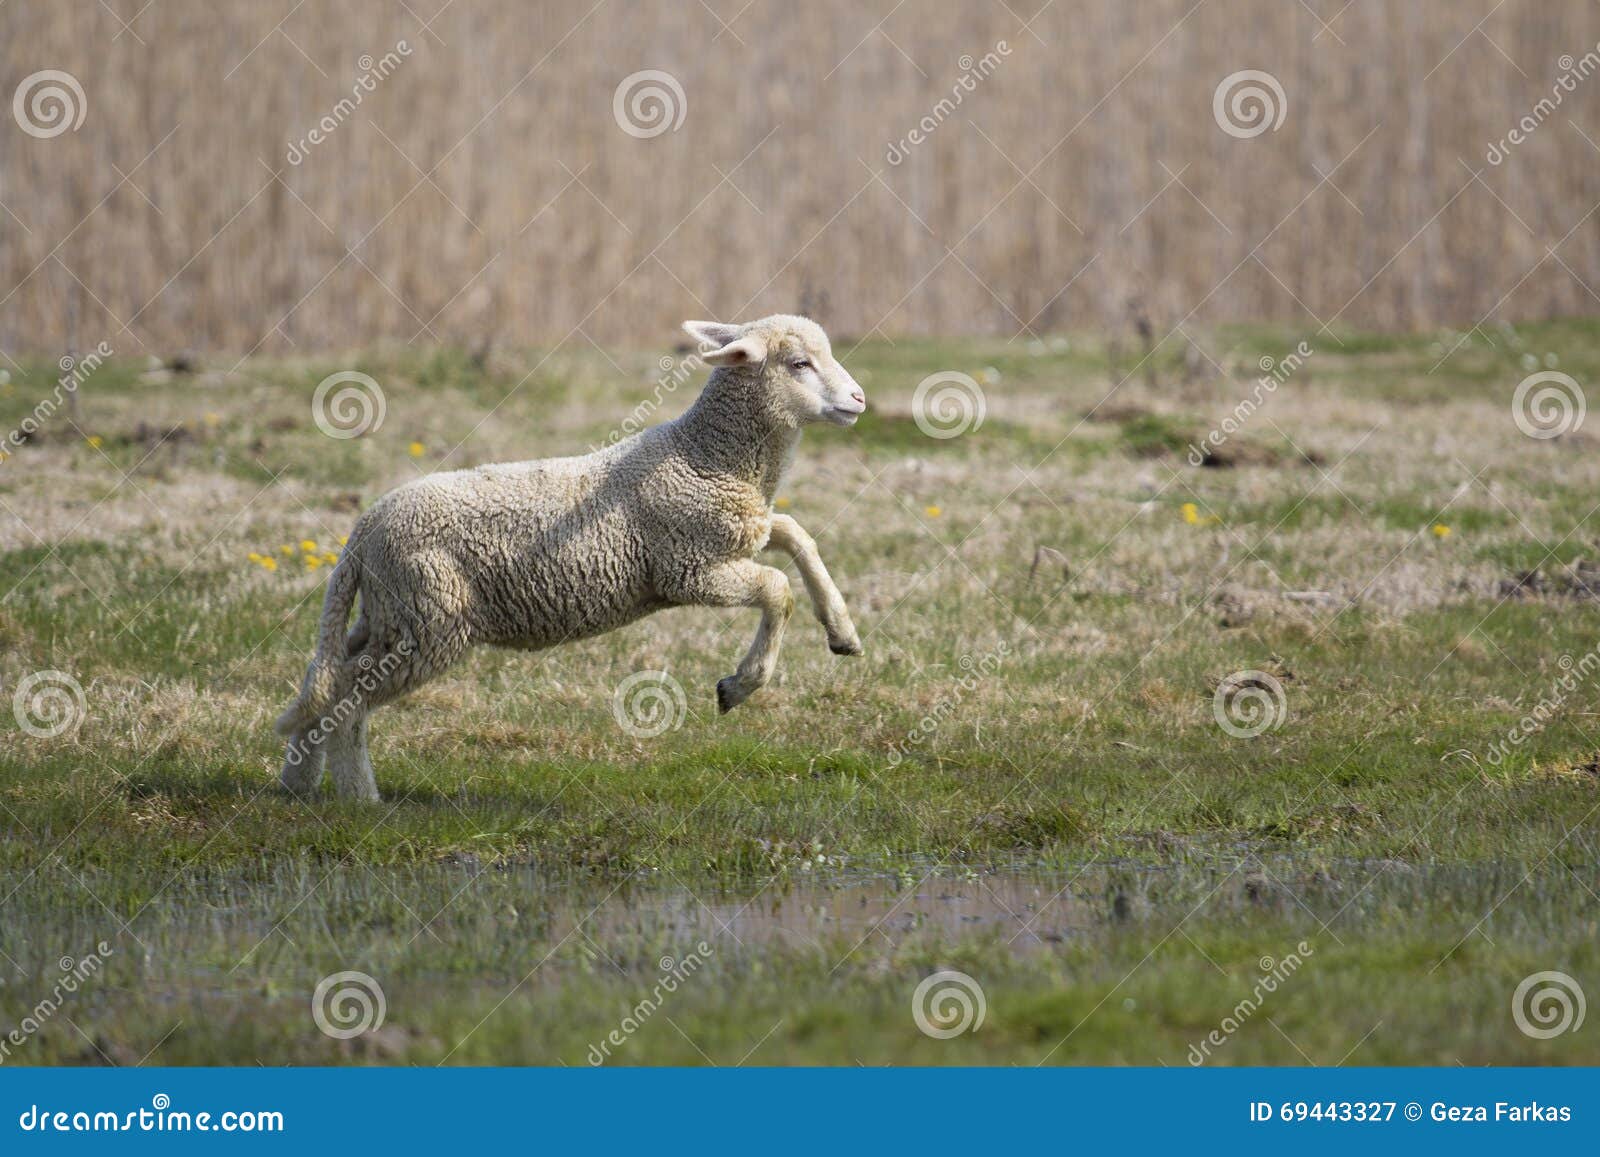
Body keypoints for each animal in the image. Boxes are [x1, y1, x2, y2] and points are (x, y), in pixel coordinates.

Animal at [276, 314, 867, 800]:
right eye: (799, 364)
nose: (860, 399)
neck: (707, 457)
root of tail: (364, 528)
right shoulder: (690, 568)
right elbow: (777, 590)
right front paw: (738, 686)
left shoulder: (740, 532)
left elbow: (798, 536)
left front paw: (843, 632)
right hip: (429, 618)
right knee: (347, 695)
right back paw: (359, 797)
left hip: (388, 614)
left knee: (324, 677)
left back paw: (298, 782)